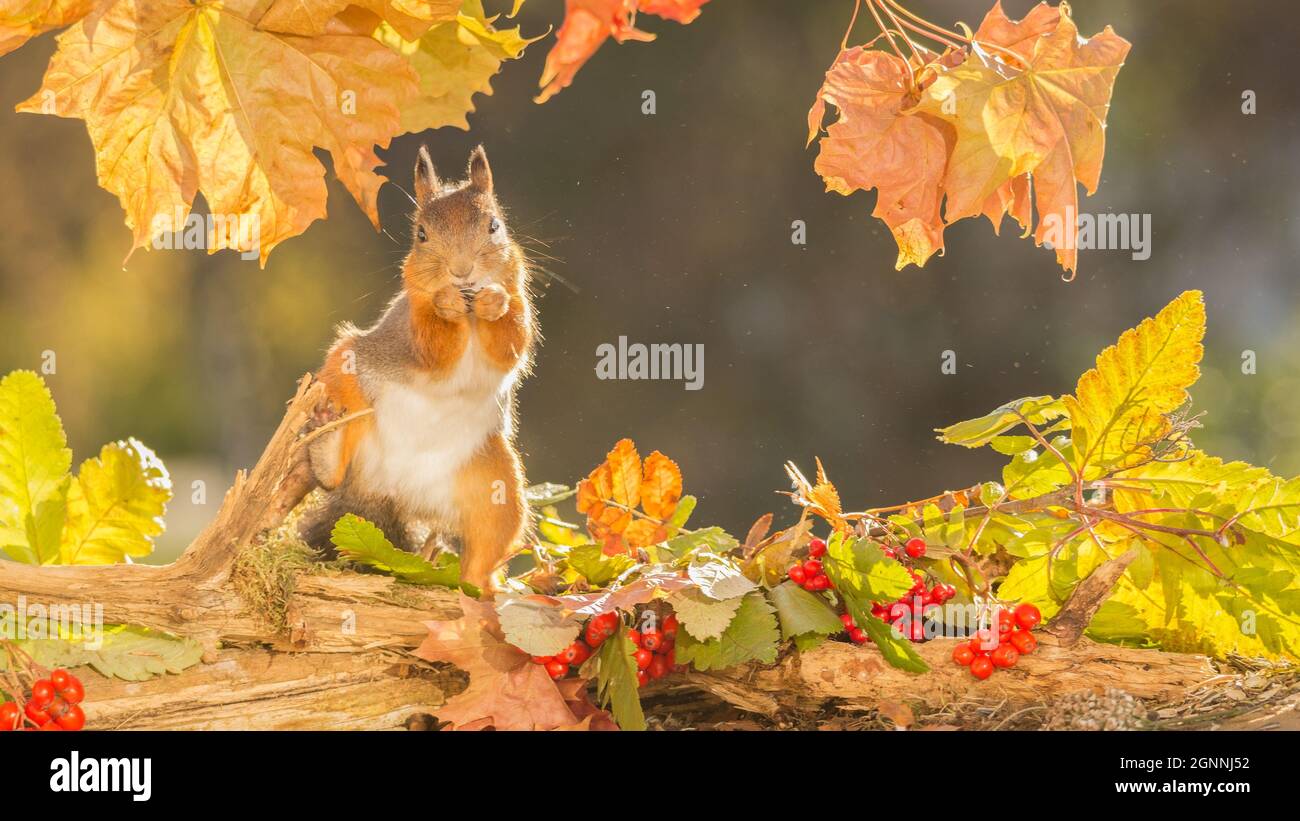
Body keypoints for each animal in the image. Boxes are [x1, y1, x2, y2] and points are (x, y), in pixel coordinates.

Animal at [300, 145, 536, 591]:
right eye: (421, 235)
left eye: (495, 225)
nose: (462, 271)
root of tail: (394, 491)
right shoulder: (408, 330)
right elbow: (434, 345)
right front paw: (446, 303)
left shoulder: (519, 302)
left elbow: (513, 340)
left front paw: (493, 301)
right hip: (348, 373)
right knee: (332, 474)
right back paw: (326, 439)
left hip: (496, 486)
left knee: (484, 551)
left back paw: (482, 588)